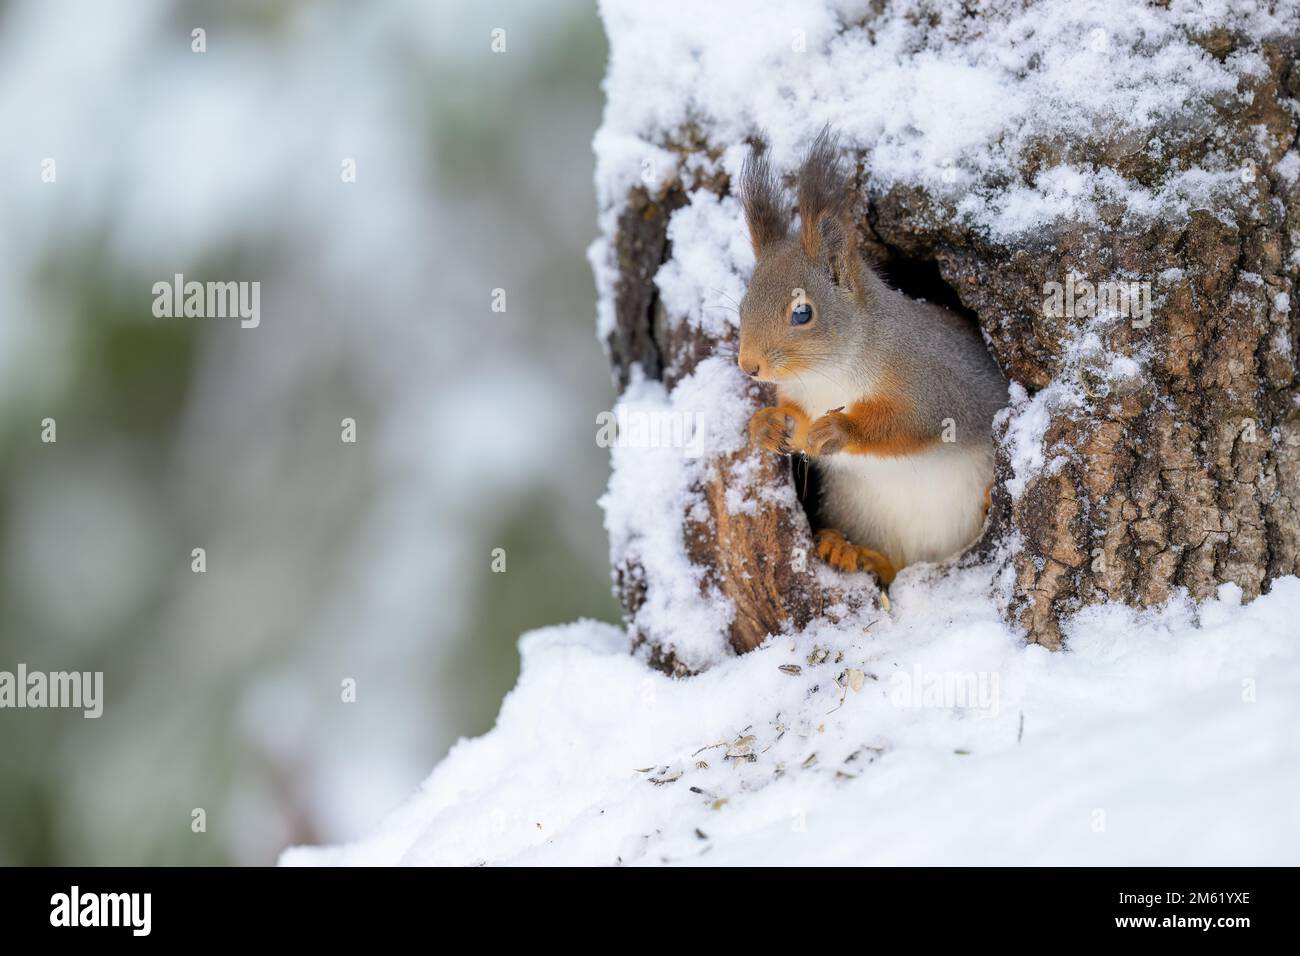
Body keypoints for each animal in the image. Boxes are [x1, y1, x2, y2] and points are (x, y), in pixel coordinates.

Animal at [735, 130, 1008, 585]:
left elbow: (911, 423)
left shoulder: (938, 384)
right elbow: (794, 417)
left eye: (803, 313)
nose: (749, 366)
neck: (828, 376)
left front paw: (841, 429)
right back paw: (850, 551)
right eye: (742, 307)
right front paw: (769, 424)